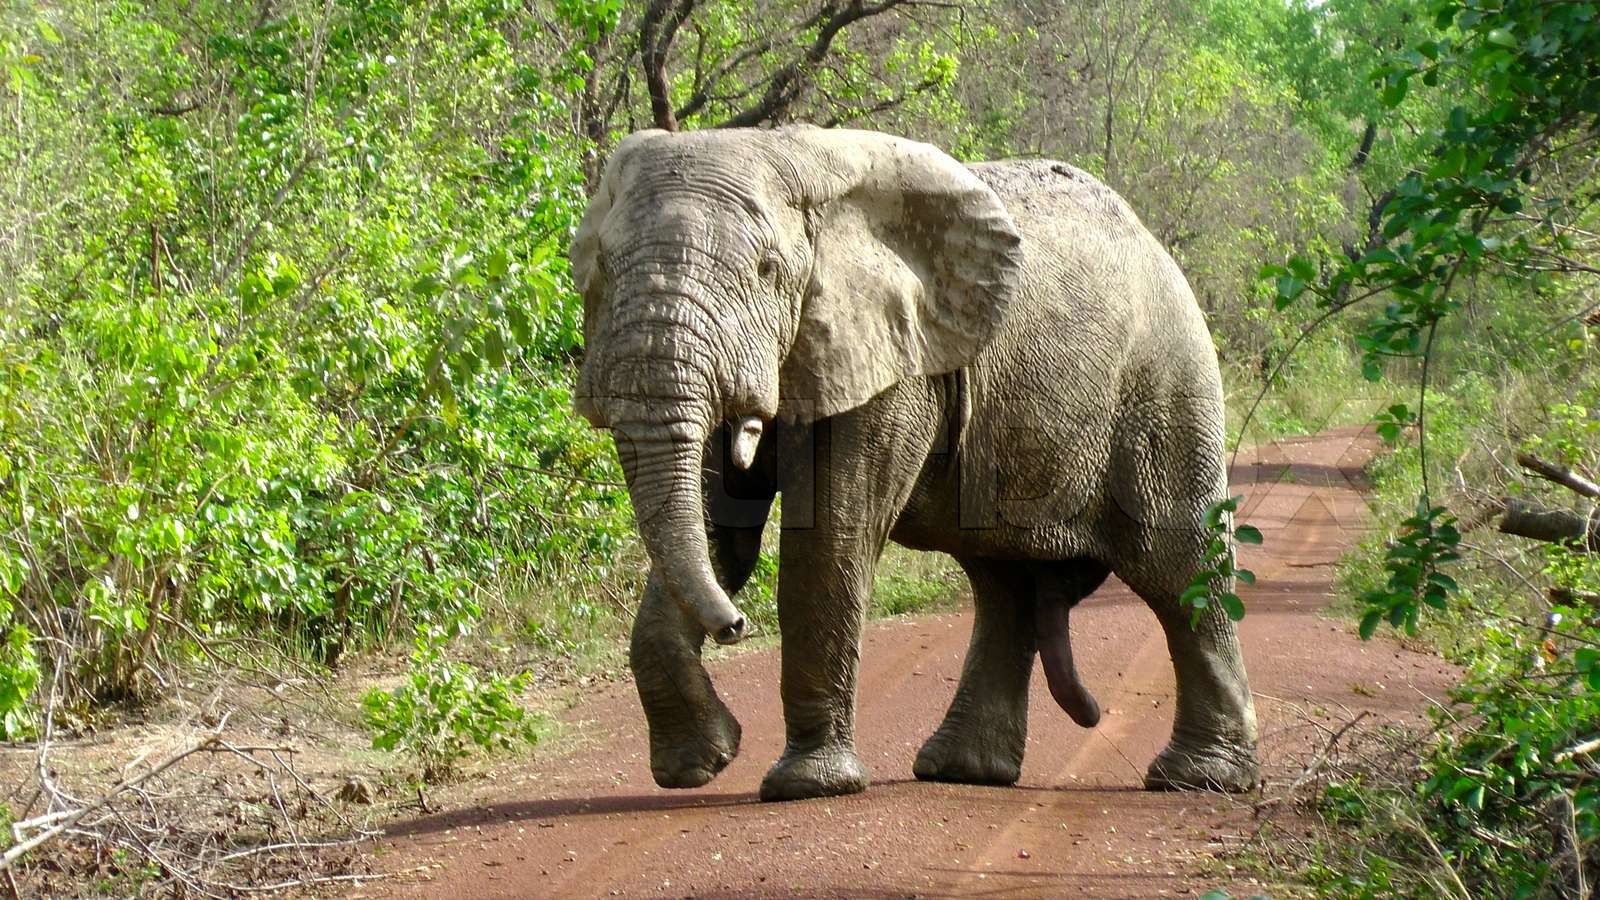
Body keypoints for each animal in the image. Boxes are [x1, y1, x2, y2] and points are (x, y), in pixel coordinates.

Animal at [570, 125, 1259, 802]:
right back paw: (963, 770)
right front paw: (699, 764)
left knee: (1176, 566)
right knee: (1003, 584)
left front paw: (807, 786)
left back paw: (1198, 780)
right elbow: (724, 536)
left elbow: (828, 537)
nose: (735, 627)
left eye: (768, 270)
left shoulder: (893, 360)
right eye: (598, 270)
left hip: (1166, 380)